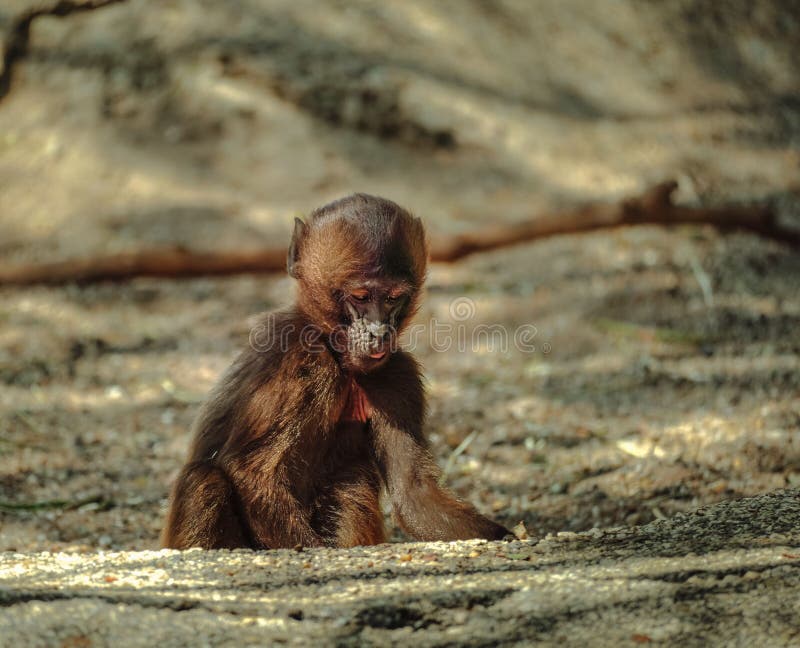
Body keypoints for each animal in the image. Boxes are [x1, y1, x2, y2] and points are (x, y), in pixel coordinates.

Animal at [161, 193, 510, 549]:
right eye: (361, 297)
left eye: (393, 298)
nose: (379, 333)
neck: (337, 357)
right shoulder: (299, 359)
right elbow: (250, 472)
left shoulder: (397, 376)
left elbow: (413, 494)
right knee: (204, 480)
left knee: (352, 479)